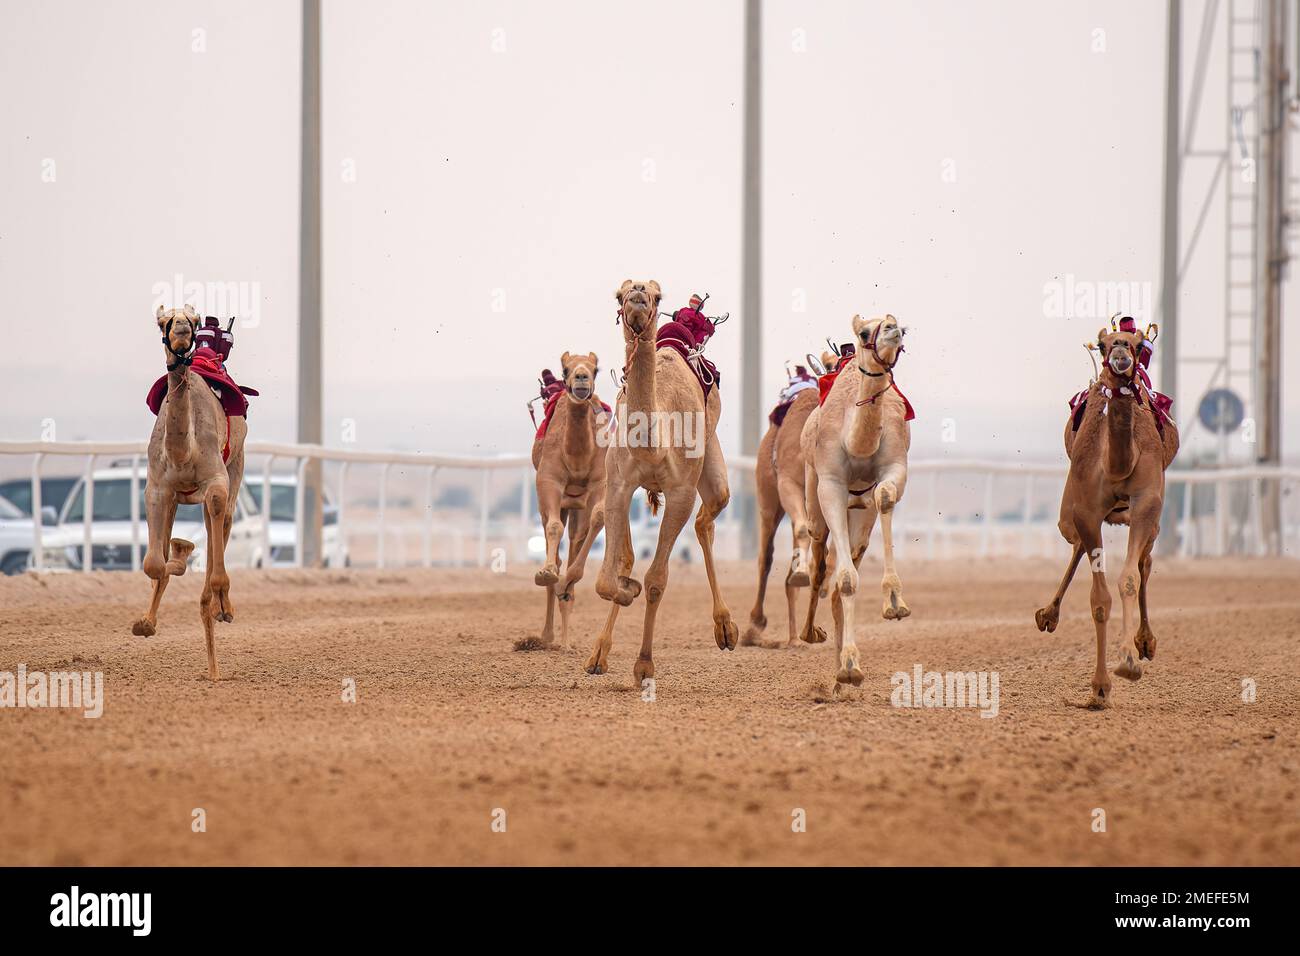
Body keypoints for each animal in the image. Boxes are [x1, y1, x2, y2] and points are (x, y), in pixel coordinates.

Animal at [131, 305, 247, 681]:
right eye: (162, 322)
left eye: (192, 320)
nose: (181, 329)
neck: (184, 451)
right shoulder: (158, 489)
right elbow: (154, 563)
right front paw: (145, 624)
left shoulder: (215, 480)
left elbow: (216, 516)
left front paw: (220, 602)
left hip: (235, 464)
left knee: (223, 520)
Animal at [530, 351, 609, 648]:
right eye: (566, 369)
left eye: (596, 369)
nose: (582, 377)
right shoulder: (548, 483)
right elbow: (553, 528)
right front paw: (546, 573)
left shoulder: (600, 482)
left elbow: (599, 516)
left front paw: (567, 583)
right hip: (559, 504)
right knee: (555, 536)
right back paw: (549, 636)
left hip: (577, 507)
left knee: (576, 539)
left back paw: (565, 638)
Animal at [584, 279, 738, 683]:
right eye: (619, 293)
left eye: (657, 294)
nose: (637, 293)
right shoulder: (619, 485)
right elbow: (612, 575)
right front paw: (625, 592)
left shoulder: (681, 493)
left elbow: (656, 580)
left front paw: (644, 664)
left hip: (711, 461)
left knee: (707, 516)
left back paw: (726, 629)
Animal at [799, 315, 912, 685]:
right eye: (865, 332)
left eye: (898, 325)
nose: (892, 328)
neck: (858, 442)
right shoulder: (831, 485)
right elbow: (846, 579)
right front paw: (849, 665)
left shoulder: (895, 467)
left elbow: (886, 495)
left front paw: (894, 602)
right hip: (814, 497)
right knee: (821, 564)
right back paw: (810, 634)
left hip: (860, 516)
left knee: (841, 572)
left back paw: (841, 671)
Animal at [1035, 324, 1179, 707]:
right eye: (1102, 344)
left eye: (1139, 344)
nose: (1120, 356)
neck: (1116, 463)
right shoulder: (1085, 508)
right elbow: (1099, 600)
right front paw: (1100, 689)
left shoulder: (1146, 503)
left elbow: (1129, 579)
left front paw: (1128, 661)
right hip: (1070, 512)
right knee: (1076, 545)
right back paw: (1047, 615)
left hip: (1152, 515)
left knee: (1145, 562)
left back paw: (1145, 642)